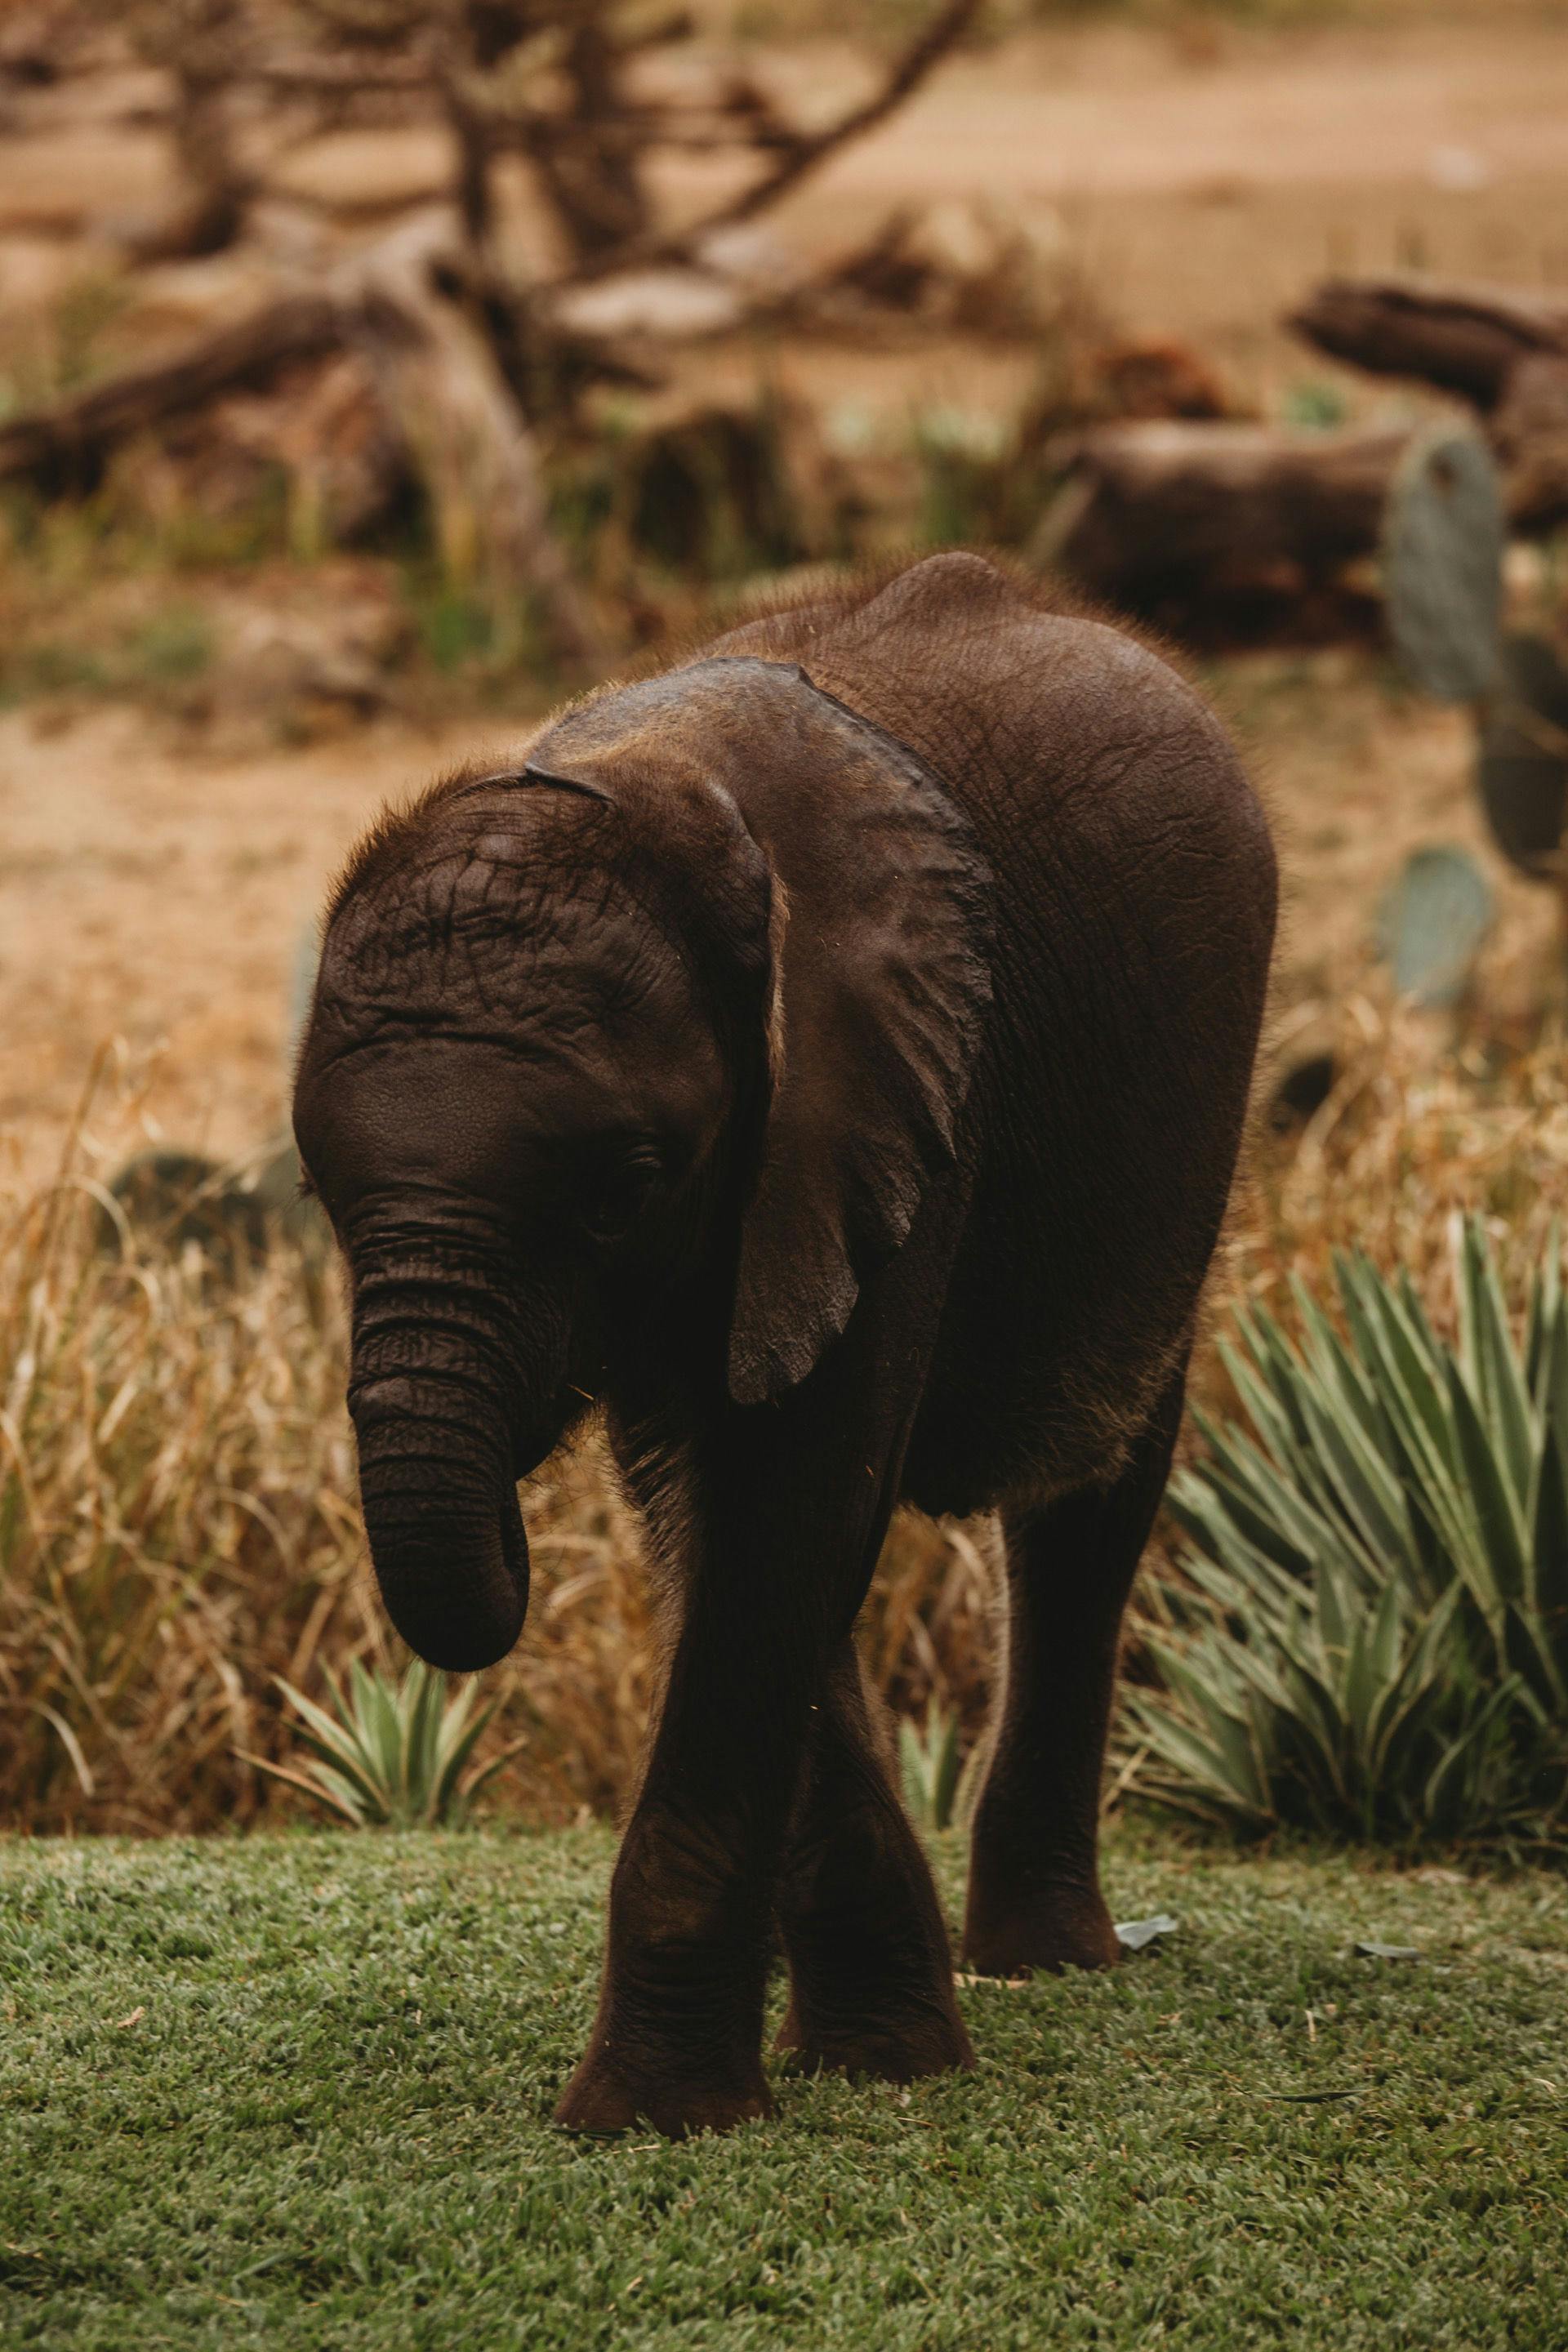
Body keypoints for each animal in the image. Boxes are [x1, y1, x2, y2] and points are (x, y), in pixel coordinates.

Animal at [292, 552, 1276, 2139]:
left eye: (626, 1184)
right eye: (321, 1195)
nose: (513, 1524)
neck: (647, 783)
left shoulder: (896, 1092)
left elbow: (789, 1497)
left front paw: (653, 2118)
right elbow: (725, 1523)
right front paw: (877, 2054)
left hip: (1189, 1118)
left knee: (1089, 1494)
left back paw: (1051, 1962)